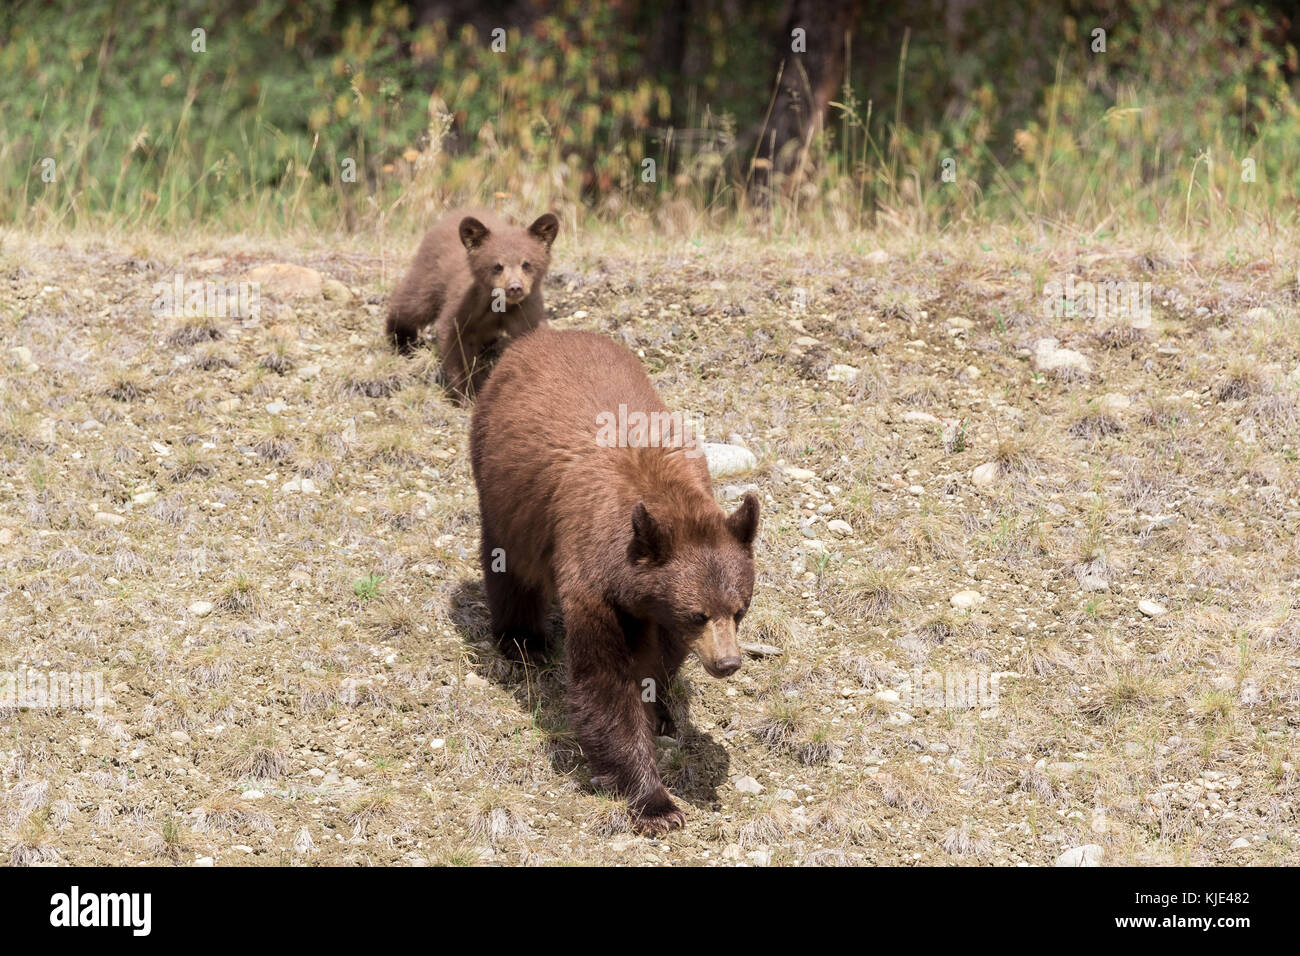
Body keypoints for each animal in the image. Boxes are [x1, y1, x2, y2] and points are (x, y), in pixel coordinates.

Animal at [385, 208, 559, 405]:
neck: (501, 305)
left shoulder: (527, 310)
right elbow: (456, 345)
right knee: (413, 303)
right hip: (429, 276)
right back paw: (401, 339)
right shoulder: (464, 307)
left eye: (526, 264)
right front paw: (467, 393)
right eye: (497, 266)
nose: (514, 287)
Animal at [469, 328, 760, 835]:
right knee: (509, 565)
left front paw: (662, 711)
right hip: (503, 482)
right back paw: (522, 640)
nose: (727, 663)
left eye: (739, 609)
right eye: (698, 613)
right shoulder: (596, 583)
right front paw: (656, 803)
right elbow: (606, 683)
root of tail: (544, 334)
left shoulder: (657, 611)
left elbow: (660, 660)